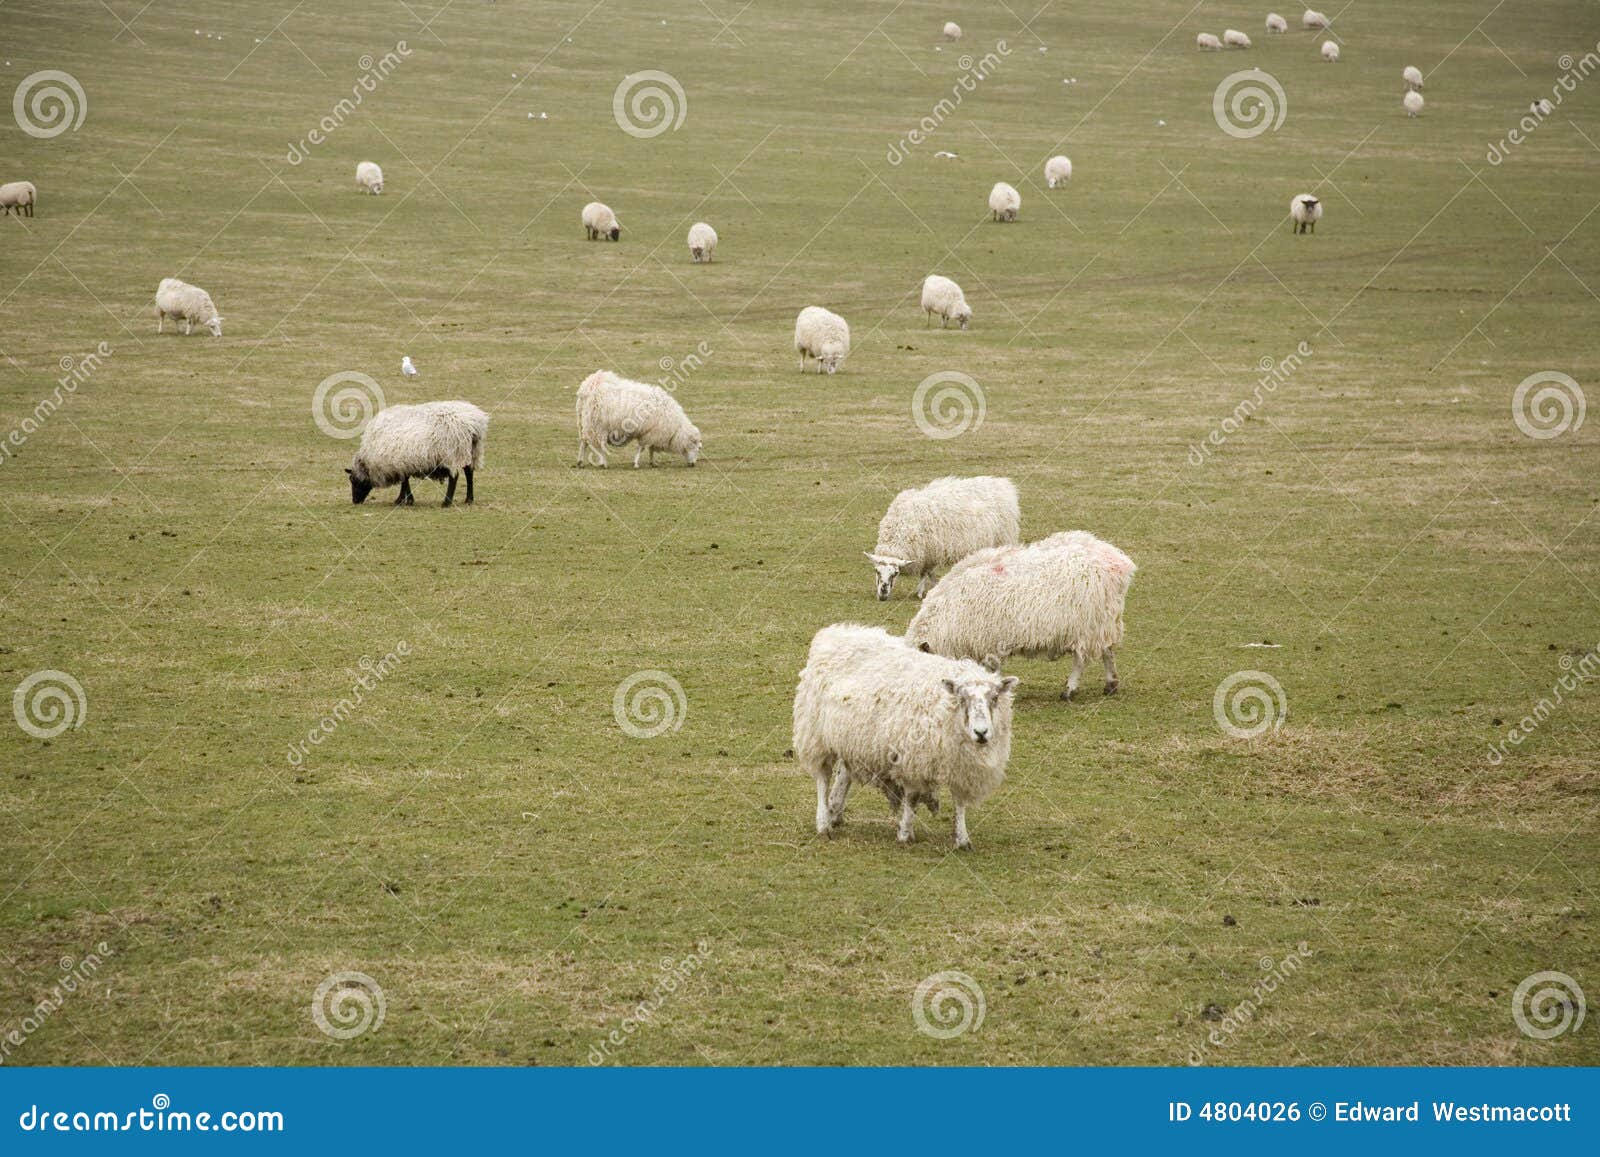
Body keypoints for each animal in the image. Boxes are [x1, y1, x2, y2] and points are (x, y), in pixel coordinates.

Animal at [346, 401, 488, 506]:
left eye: (353, 480)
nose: (355, 501)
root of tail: (473, 423)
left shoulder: (397, 463)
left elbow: (404, 481)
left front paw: (406, 500)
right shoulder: (403, 463)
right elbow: (405, 480)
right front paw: (402, 499)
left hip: (451, 454)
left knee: (455, 477)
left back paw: (446, 502)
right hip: (471, 451)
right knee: (469, 473)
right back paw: (469, 499)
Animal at [793, 623, 1017, 849]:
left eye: (994, 698)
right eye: (962, 699)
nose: (981, 732)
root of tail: (836, 632)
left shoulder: (961, 765)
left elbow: (959, 801)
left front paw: (962, 839)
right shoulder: (912, 758)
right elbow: (912, 797)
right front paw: (905, 833)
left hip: (853, 737)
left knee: (844, 774)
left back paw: (835, 811)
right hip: (816, 734)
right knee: (823, 778)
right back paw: (823, 823)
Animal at [867, 475, 1020, 601]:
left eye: (895, 573)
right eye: (876, 571)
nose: (882, 595)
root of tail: (1001, 484)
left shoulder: (929, 551)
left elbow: (925, 573)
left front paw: (922, 592)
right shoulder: (927, 555)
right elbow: (927, 573)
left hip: (1002, 537)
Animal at [905, 530, 1136, 702]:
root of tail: (1118, 562)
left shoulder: (987, 641)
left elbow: (992, 669)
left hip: (1087, 625)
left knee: (1081, 660)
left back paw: (1069, 690)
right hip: (1103, 622)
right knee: (1107, 652)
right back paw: (1111, 684)